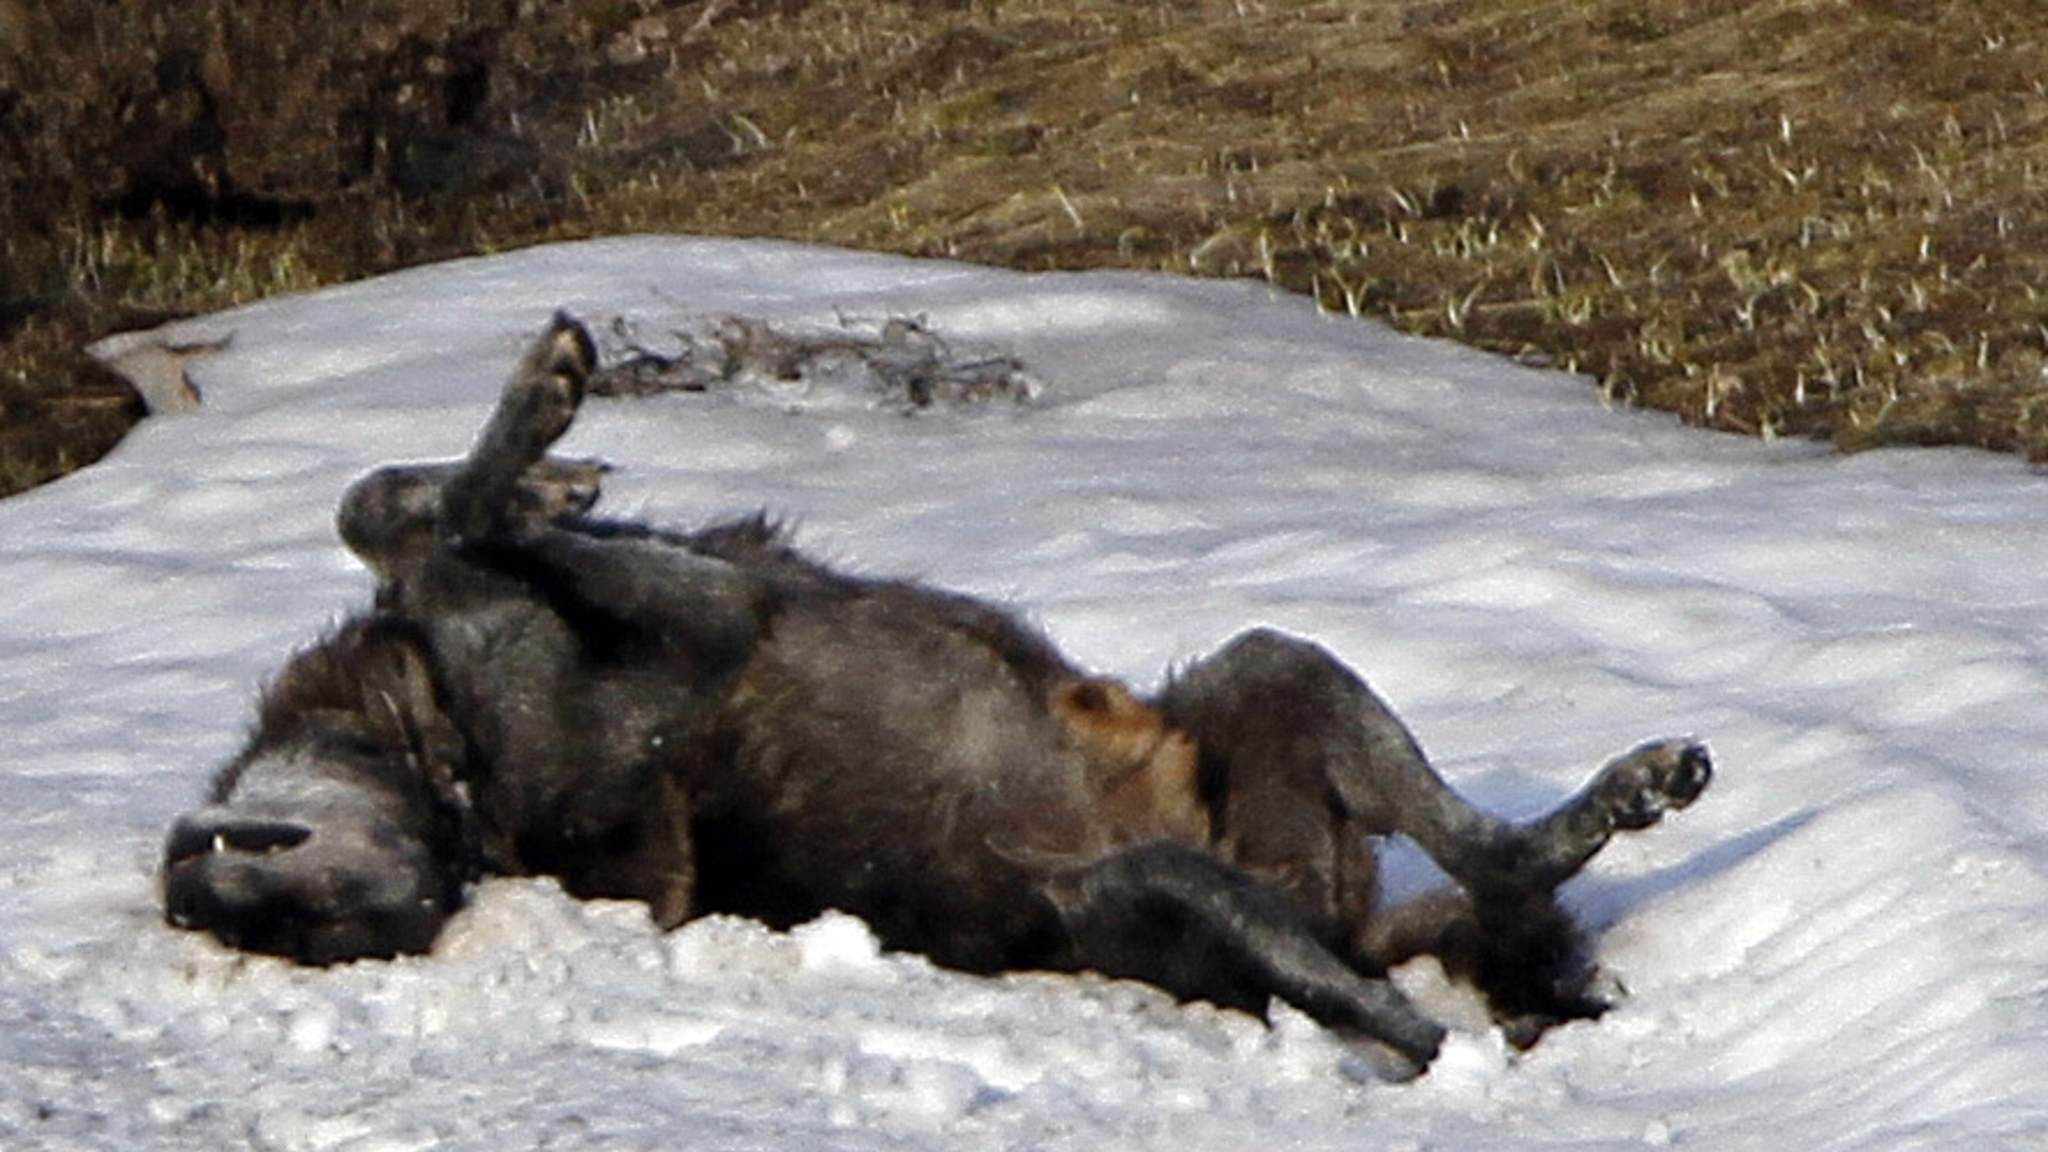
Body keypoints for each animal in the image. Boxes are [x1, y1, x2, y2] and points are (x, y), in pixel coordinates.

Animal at [161, 314, 1710, 1075]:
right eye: (309, 935)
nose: (196, 888)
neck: (434, 743)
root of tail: (1328, 910)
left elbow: (388, 501)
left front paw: (544, 463)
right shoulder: (692, 625)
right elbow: (446, 508)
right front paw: (531, 442)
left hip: (1276, 677)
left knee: (1494, 852)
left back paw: (1626, 794)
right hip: (1156, 894)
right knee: (1389, 994)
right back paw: (1455, 1037)